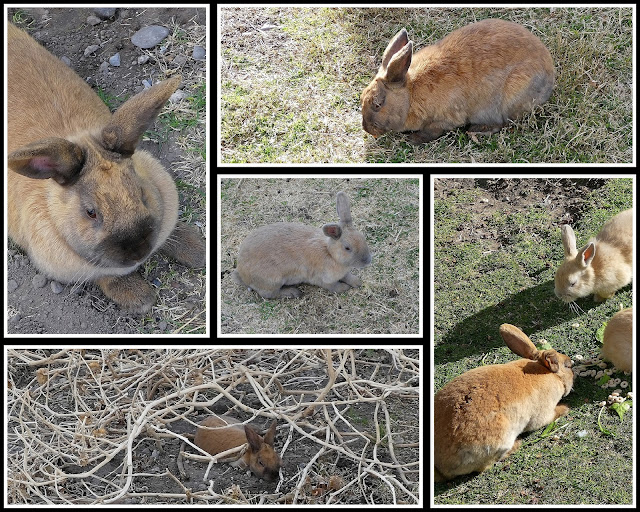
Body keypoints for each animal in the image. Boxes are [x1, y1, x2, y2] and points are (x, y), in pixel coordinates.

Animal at [7, 23, 205, 314]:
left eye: (142, 193)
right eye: (91, 212)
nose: (137, 252)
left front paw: (198, 251)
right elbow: (104, 276)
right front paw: (140, 298)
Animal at [232, 191, 371, 298]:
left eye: (363, 238)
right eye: (347, 248)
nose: (368, 261)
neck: (330, 253)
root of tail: (242, 273)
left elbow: (348, 276)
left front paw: (357, 282)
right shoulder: (323, 279)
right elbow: (333, 286)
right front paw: (344, 288)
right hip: (272, 280)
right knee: (269, 294)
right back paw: (293, 292)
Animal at [361, 18, 554, 143]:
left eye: (377, 104)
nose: (366, 129)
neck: (411, 94)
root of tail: (550, 74)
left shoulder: (445, 119)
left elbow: (432, 131)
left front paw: (413, 139)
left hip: (509, 98)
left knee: (503, 123)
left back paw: (477, 131)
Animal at [434, 324, 574, 482]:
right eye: (567, 366)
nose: (572, 367)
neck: (546, 372)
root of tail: (441, 466)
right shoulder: (543, 413)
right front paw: (565, 408)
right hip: (497, 442)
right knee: (484, 466)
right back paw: (516, 445)